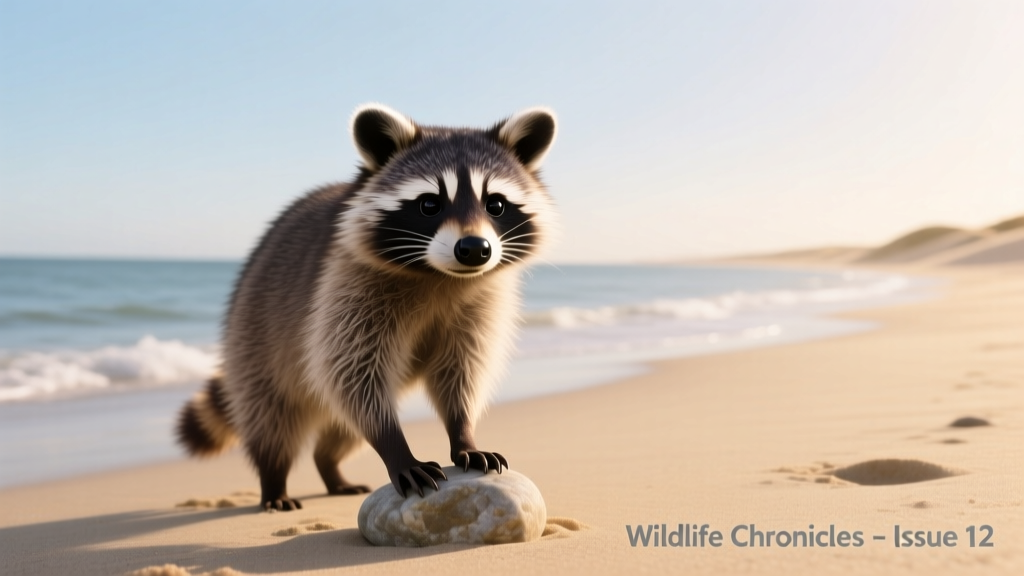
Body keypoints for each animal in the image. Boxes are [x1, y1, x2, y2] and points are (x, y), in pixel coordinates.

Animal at [176, 104, 557, 511]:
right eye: (429, 204)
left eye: (496, 204)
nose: (473, 249)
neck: (440, 277)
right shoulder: (347, 289)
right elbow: (352, 374)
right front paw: (395, 447)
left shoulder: (480, 304)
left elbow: (461, 371)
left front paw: (463, 431)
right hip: (255, 335)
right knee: (273, 417)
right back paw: (273, 478)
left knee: (340, 430)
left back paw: (329, 466)